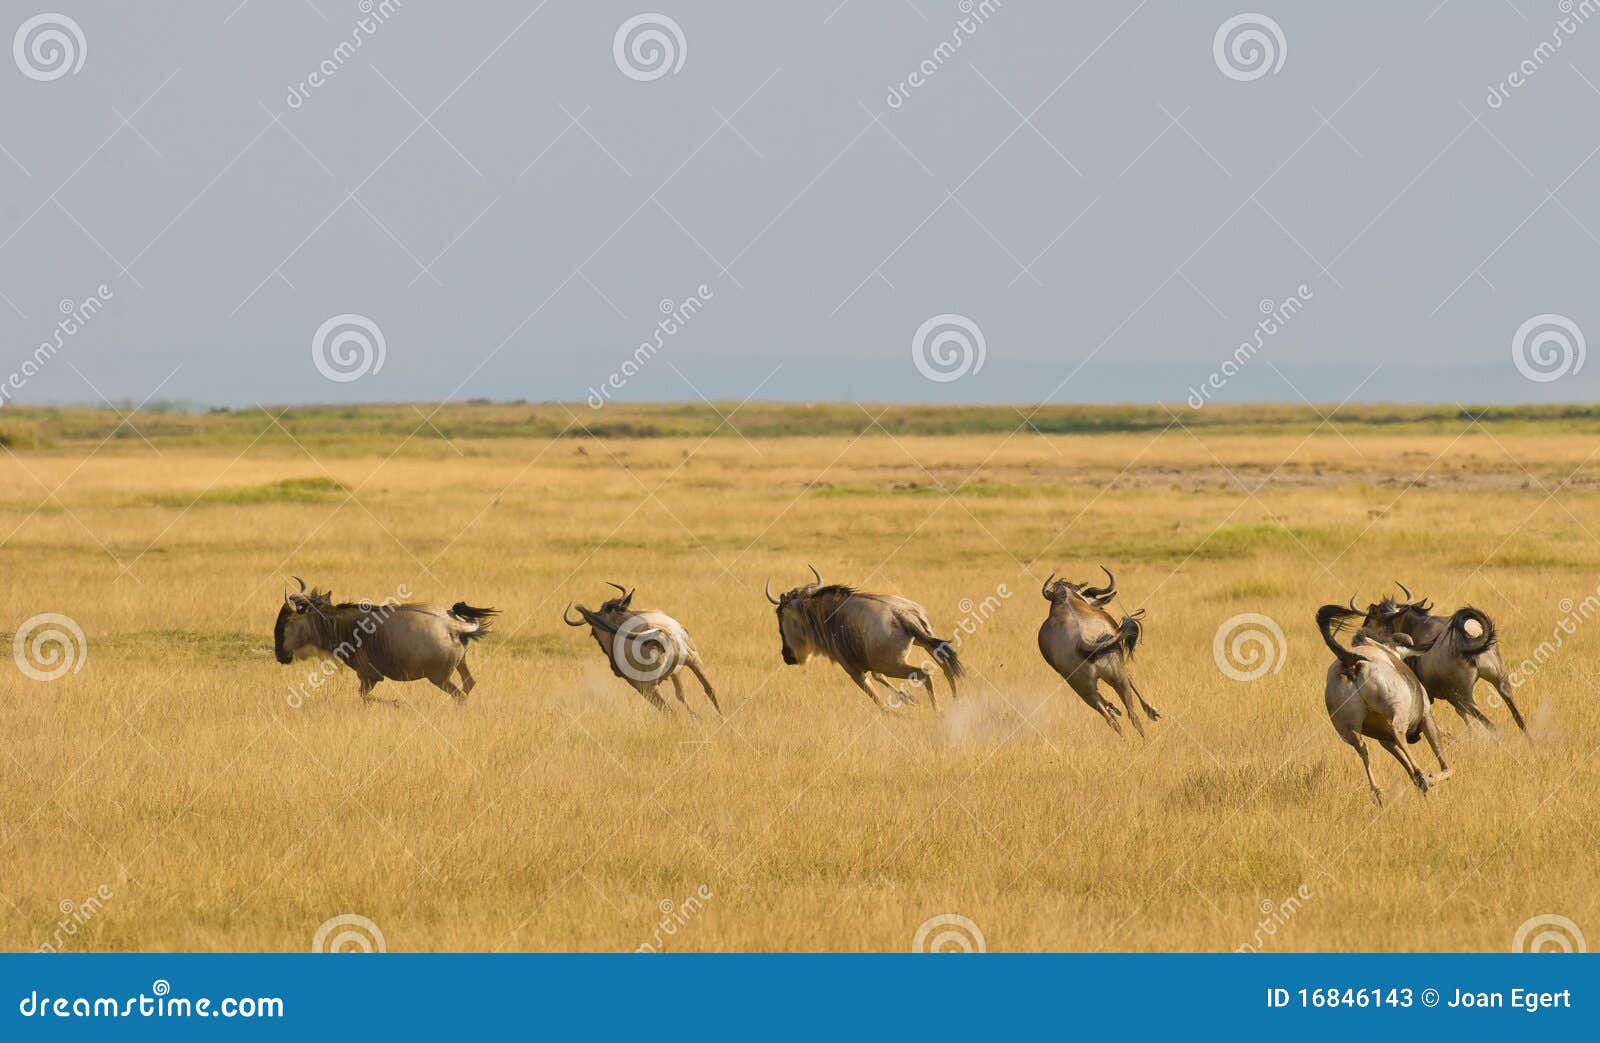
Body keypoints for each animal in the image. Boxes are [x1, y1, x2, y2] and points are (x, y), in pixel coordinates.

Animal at [273, 578, 495, 704]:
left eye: (285, 621)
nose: (279, 656)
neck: (339, 625)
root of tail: (454, 627)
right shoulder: (368, 678)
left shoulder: (369, 676)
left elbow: (365, 697)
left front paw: (397, 702)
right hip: (460, 666)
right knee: (469, 686)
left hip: (439, 678)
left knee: (460, 696)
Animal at [564, 583, 721, 718]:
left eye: (593, 632)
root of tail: (662, 634)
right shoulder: (675, 672)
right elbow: (680, 694)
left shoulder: (638, 685)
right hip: (693, 660)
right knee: (710, 690)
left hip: (650, 687)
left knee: (669, 711)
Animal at [764, 565, 961, 711]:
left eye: (781, 617)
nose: (787, 656)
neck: (825, 614)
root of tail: (901, 615)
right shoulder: (870, 663)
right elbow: (878, 678)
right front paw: (909, 699)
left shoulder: (853, 670)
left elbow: (877, 699)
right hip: (925, 643)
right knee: (946, 668)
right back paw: (954, 702)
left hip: (893, 664)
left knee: (924, 674)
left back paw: (939, 712)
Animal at [1037, 567, 1160, 737]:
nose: (1101, 608)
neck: (1065, 599)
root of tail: (1082, 642)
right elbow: (1131, 677)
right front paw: (1153, 710)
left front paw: (1112, 707)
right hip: (1116, 677)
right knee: (1132, 713)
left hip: (1082, 689)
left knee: (1111, 720)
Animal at [1317, 604, 1450, 805]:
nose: (1415, 737)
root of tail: (1350, 661)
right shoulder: (1427, 717)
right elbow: (1446, 767)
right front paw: (1431, 778)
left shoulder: (1384, 740)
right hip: (1397, 715)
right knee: (1399, 734)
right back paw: (1422, 775)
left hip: (1349, 730)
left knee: (1362, 749)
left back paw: (1378, 793)